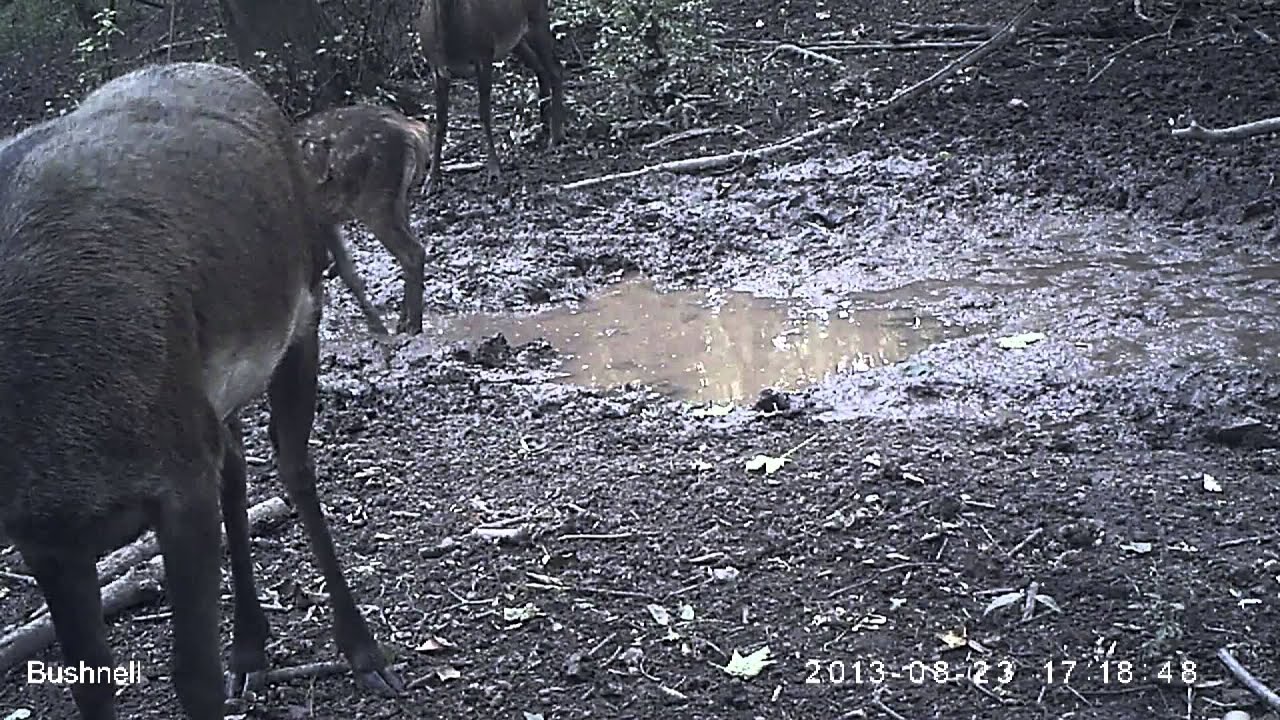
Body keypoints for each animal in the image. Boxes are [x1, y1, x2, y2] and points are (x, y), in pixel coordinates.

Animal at [0, 62, 404, 719]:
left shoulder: (176, 477)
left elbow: (193, 678)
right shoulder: (43, 536)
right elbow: (91, 684)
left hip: (304, 308)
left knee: (292, 466)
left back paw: (364, 653)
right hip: (217, 396)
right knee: (236, 471)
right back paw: (251, 653)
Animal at [294, 104, 431, 336]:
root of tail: (412, 132)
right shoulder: (325, 220)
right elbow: (346, 270)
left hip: (374, 200)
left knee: (412, 252)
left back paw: (413, 325)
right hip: (398, 201)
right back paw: (402, 322)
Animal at [415, 0, 567, 191]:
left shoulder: (485, 55)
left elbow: (485, 115)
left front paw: (494, 171)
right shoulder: (436, 69)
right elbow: (441, 122)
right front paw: (432, 179)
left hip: (537, 20)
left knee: (556, 69)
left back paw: (555, 137)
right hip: (517, 40)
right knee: (541, 70)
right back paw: (543, 128)